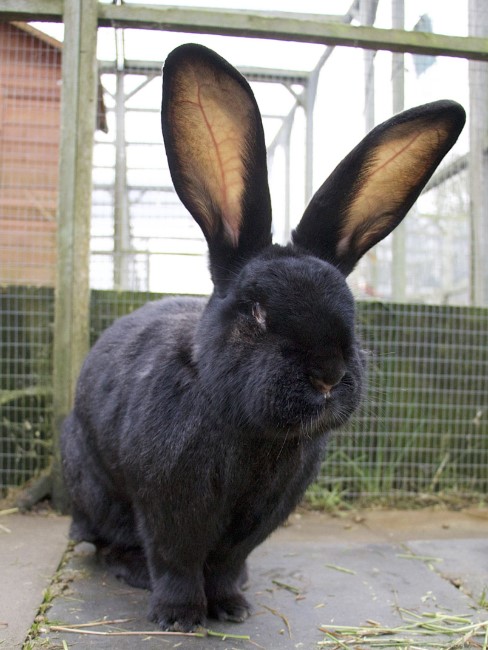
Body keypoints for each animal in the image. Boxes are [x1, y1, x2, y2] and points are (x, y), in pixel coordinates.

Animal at [60, 43, 465, 632]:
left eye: (351, 312)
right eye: (254, 312)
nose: (329, 374)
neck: (252, 432)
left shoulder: (257, 519)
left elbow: (227, 563)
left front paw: (232, 607)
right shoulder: (168, 505)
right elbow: (176, 560)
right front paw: (180, 617)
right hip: (93, 491)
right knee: (103, 541)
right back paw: (130, 572)